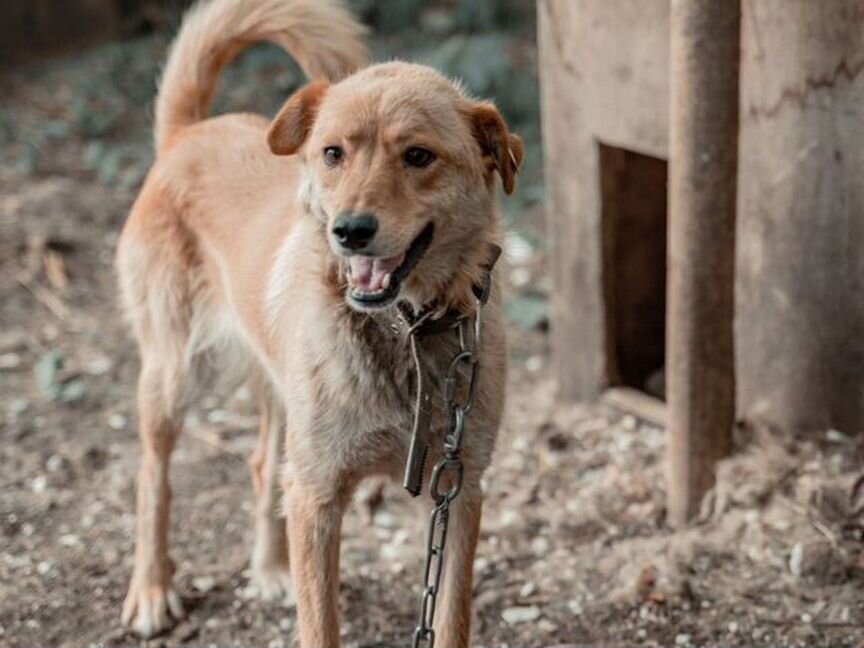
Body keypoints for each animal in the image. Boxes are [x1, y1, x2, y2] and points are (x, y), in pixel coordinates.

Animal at [114, 1, 520, 644]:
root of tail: (188, 134)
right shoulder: (316, 498)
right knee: (154, 477)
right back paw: (152, 589)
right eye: (333, 153)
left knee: (262, 467)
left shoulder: (459, 490)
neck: (405, 333)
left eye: (418, 155)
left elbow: (451, 617)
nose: (349, 230)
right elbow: (320, 625)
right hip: (173, 372)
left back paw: (269, 569)